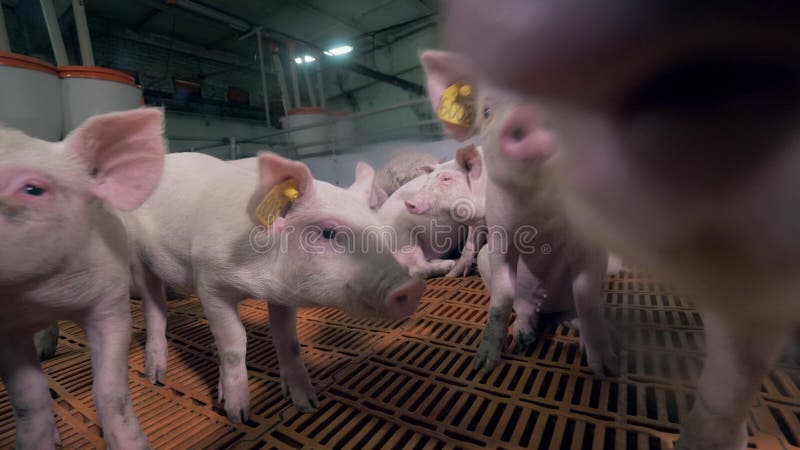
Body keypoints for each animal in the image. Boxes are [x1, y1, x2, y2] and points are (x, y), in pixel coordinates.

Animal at [0, 108, 166, 449]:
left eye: (32, 189)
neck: (46, 295)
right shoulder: (7, 330)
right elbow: (28, 399)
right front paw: (37, 444)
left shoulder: (110, 303)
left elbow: (109, 389)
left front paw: (135, 445)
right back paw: (45, 351)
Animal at [126, 152, 425, 423]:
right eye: (329, 232)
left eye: (380, 232)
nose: (411, 287)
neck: (259, 281)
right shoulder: (210, 282)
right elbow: (234, 343)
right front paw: (238, 416)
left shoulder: (282, 295)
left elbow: (288, 341)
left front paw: (307, 405)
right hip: (138, 257)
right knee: (154, 305)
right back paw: (155, 376)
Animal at [404, 144, 488, 277]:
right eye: (427, 180)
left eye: (446, 178)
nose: (408, 202)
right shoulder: (476, 223)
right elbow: (467, 248)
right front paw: (452, 276)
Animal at [421, 50, 619, 377]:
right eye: (486, 111)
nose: (525, 115)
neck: (538, 209)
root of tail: (546, 307)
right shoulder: (499, 236)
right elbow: (501, 301)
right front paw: (483, 366)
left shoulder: (587, 243)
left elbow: (587, 298)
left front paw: (607, 369)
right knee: (522, 307)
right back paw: (524, 336)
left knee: (572, 310)